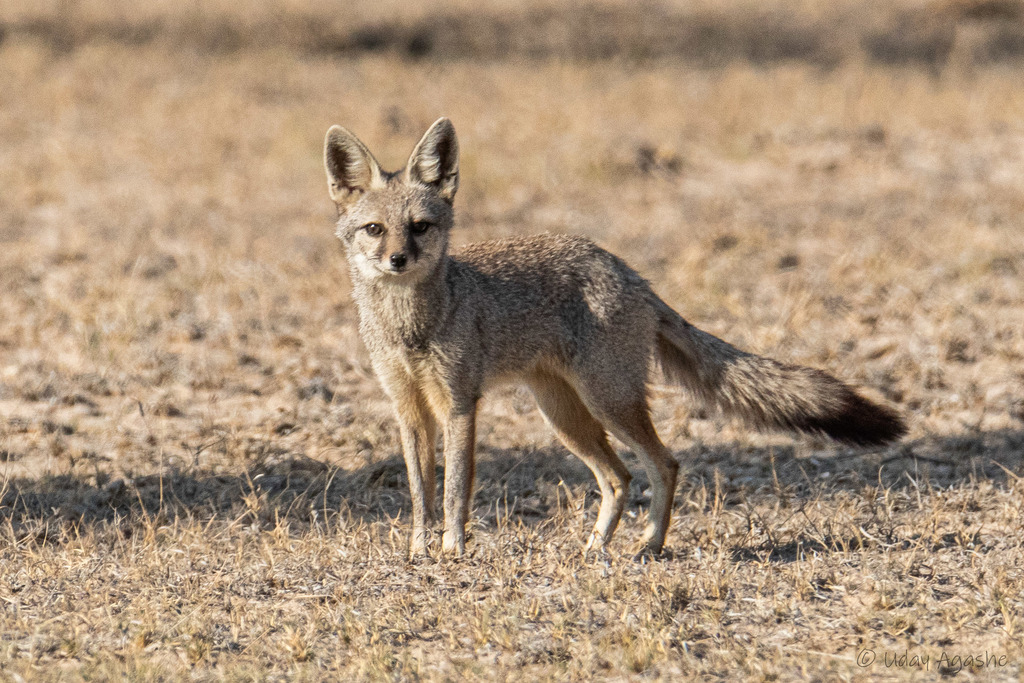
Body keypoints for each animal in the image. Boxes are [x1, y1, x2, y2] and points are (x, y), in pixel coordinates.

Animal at [323, 117, 906, 558]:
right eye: (375, 230)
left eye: (420, 227)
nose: (398, 260)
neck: (410, 327)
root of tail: (629, 272)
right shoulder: (409, 408)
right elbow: (421, 494)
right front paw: (419, 551)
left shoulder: (460, 404)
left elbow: (453, 493)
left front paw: (453, 551)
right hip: (567, 417)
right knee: (619, 477)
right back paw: (596, 547)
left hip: (607, 401)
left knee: (663, 464)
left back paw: (649, 546)